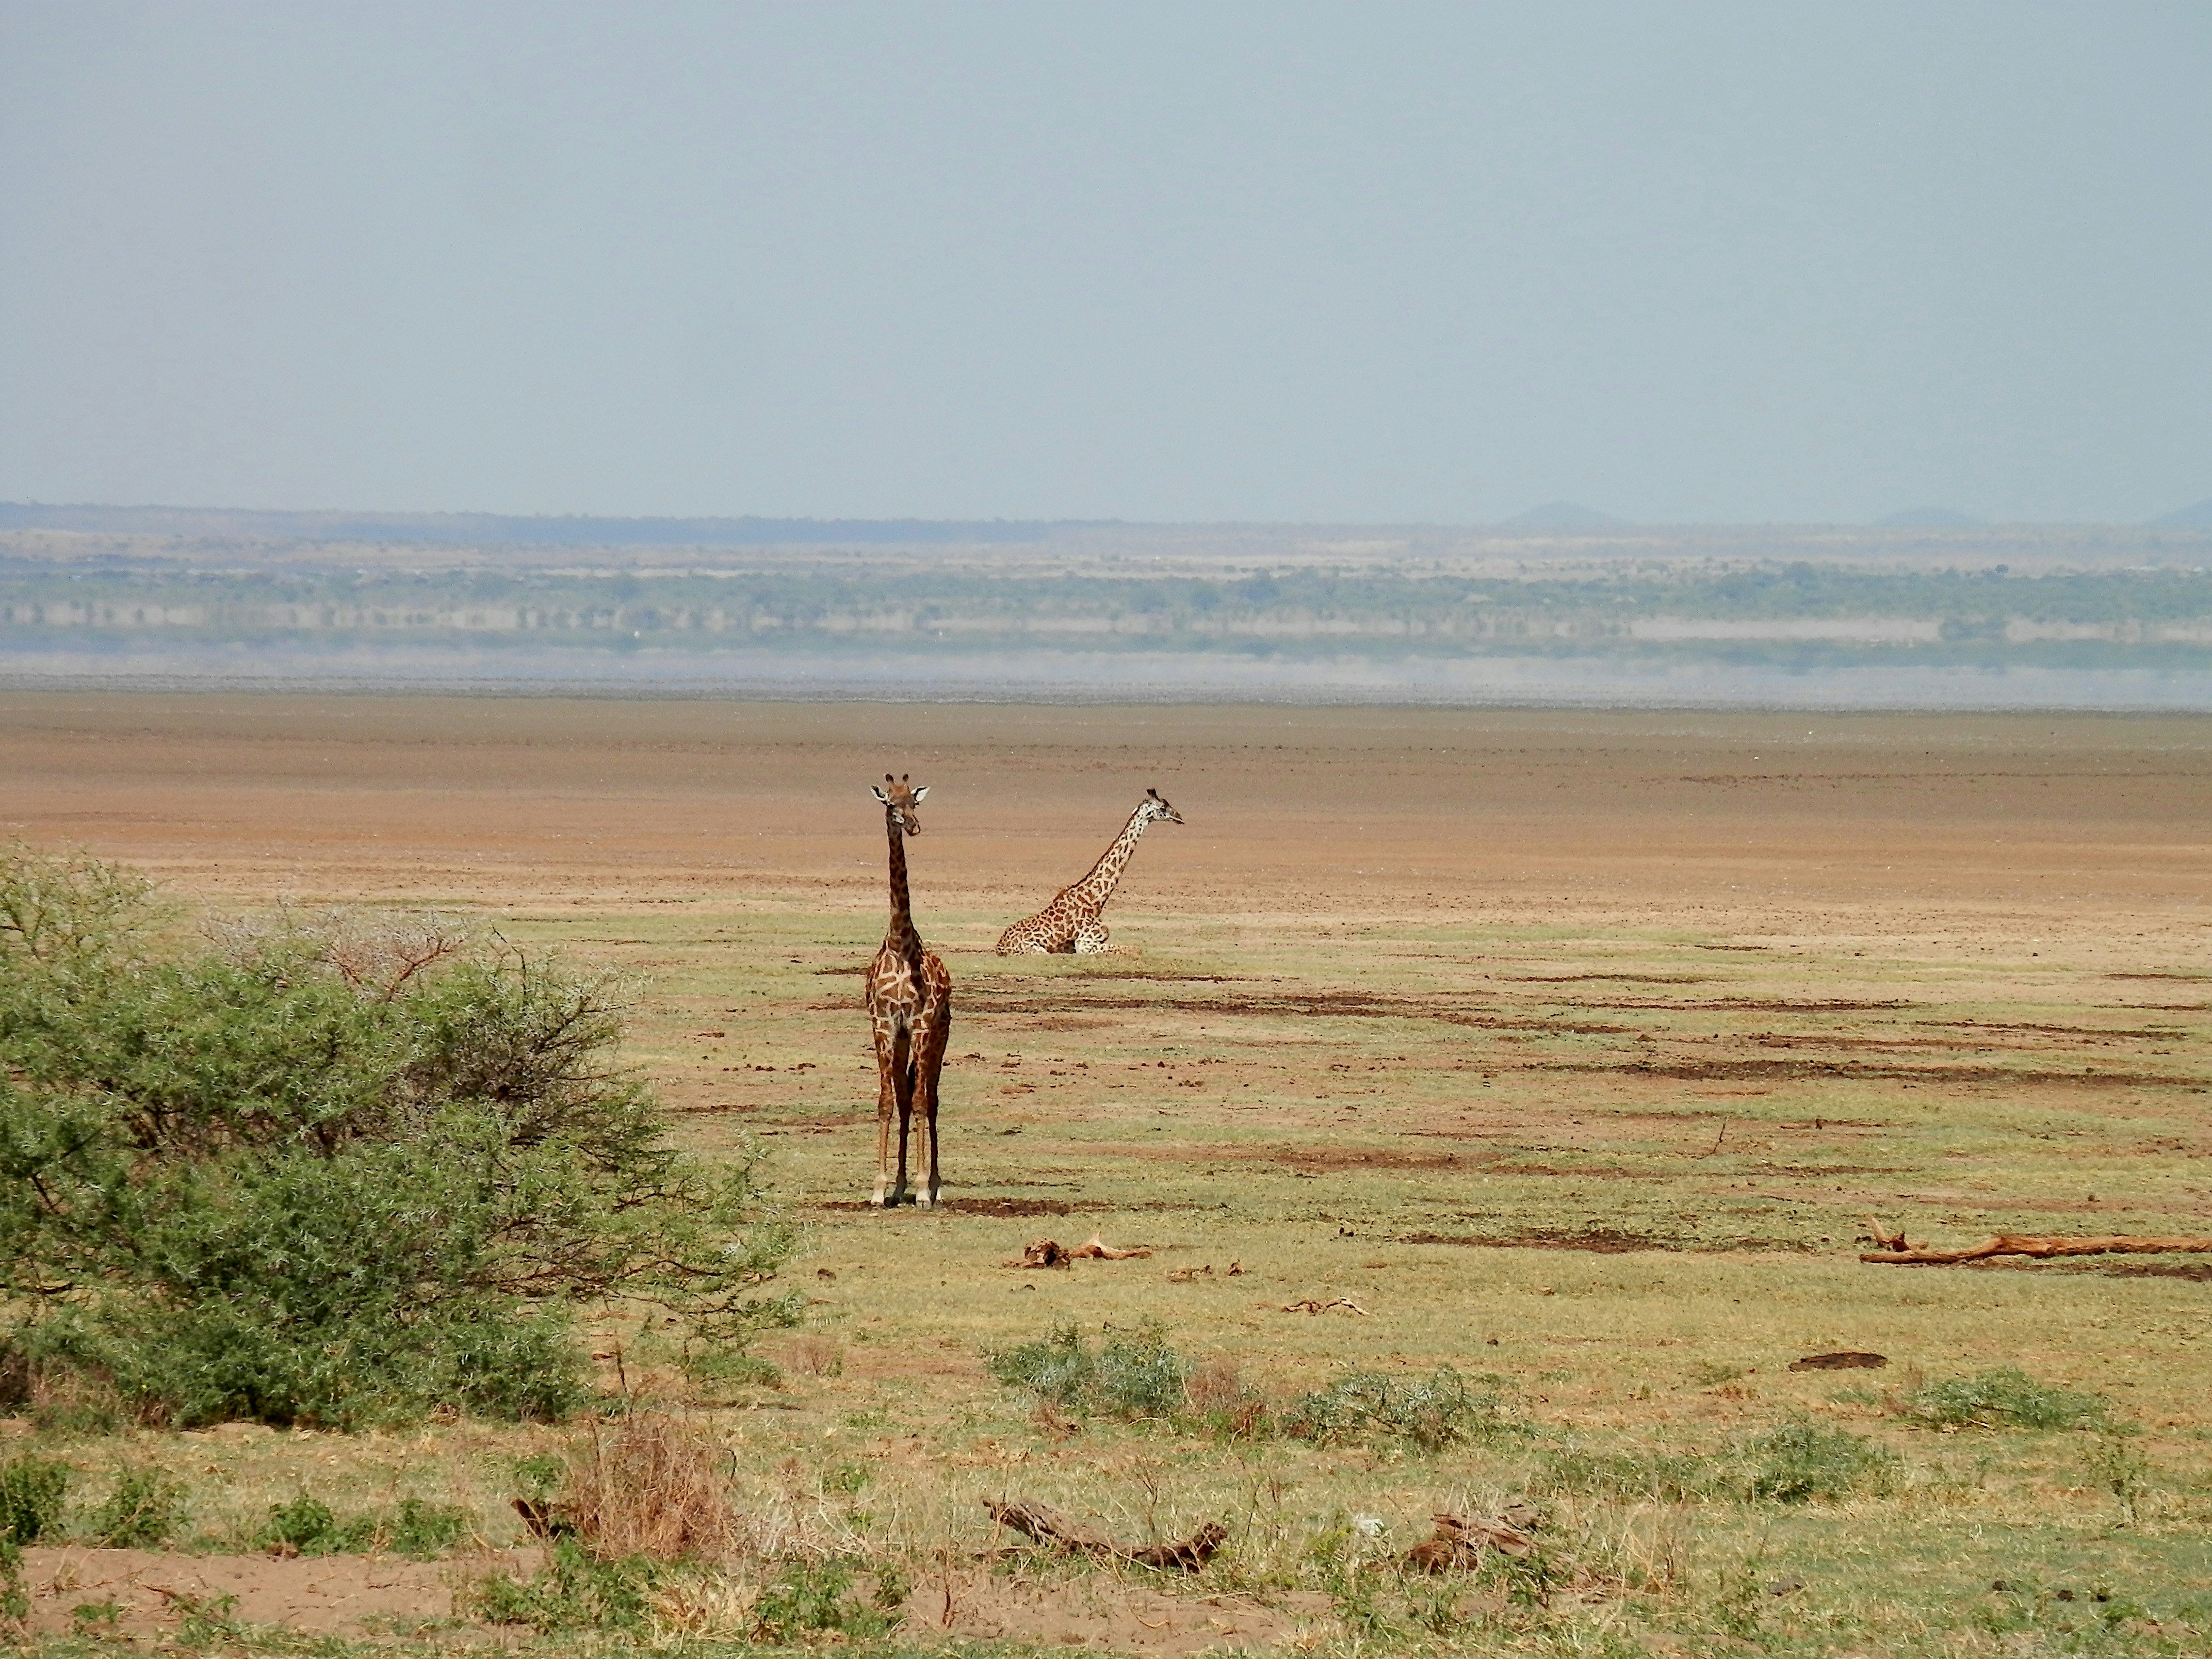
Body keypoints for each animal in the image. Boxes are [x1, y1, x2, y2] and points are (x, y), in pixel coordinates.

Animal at [995, 788, 1184, 955]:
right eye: (1163, 808)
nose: (1180, 817)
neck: (1095, 899)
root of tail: (999, 947)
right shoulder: (1085, 943)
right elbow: (1135, 949)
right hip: (1037, 950)